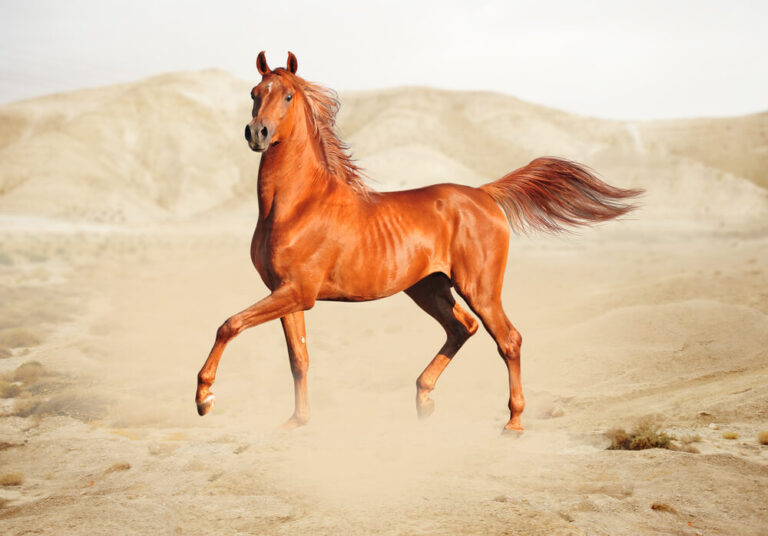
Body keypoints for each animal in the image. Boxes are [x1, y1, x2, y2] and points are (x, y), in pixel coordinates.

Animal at [195, 51, 642, 433]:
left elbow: (229, 325)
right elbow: (298, 359)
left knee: (507, 339)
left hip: (478, 287)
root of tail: (484, 194)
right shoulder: (286, 293)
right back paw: (424, 401)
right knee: (463, 327)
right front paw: (296, 421)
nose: (257, 133)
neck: (297, 205)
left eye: (287, 95)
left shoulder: (297, 292)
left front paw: (204, 398)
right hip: (428, 287)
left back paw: (513, 422)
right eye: (255, 93)